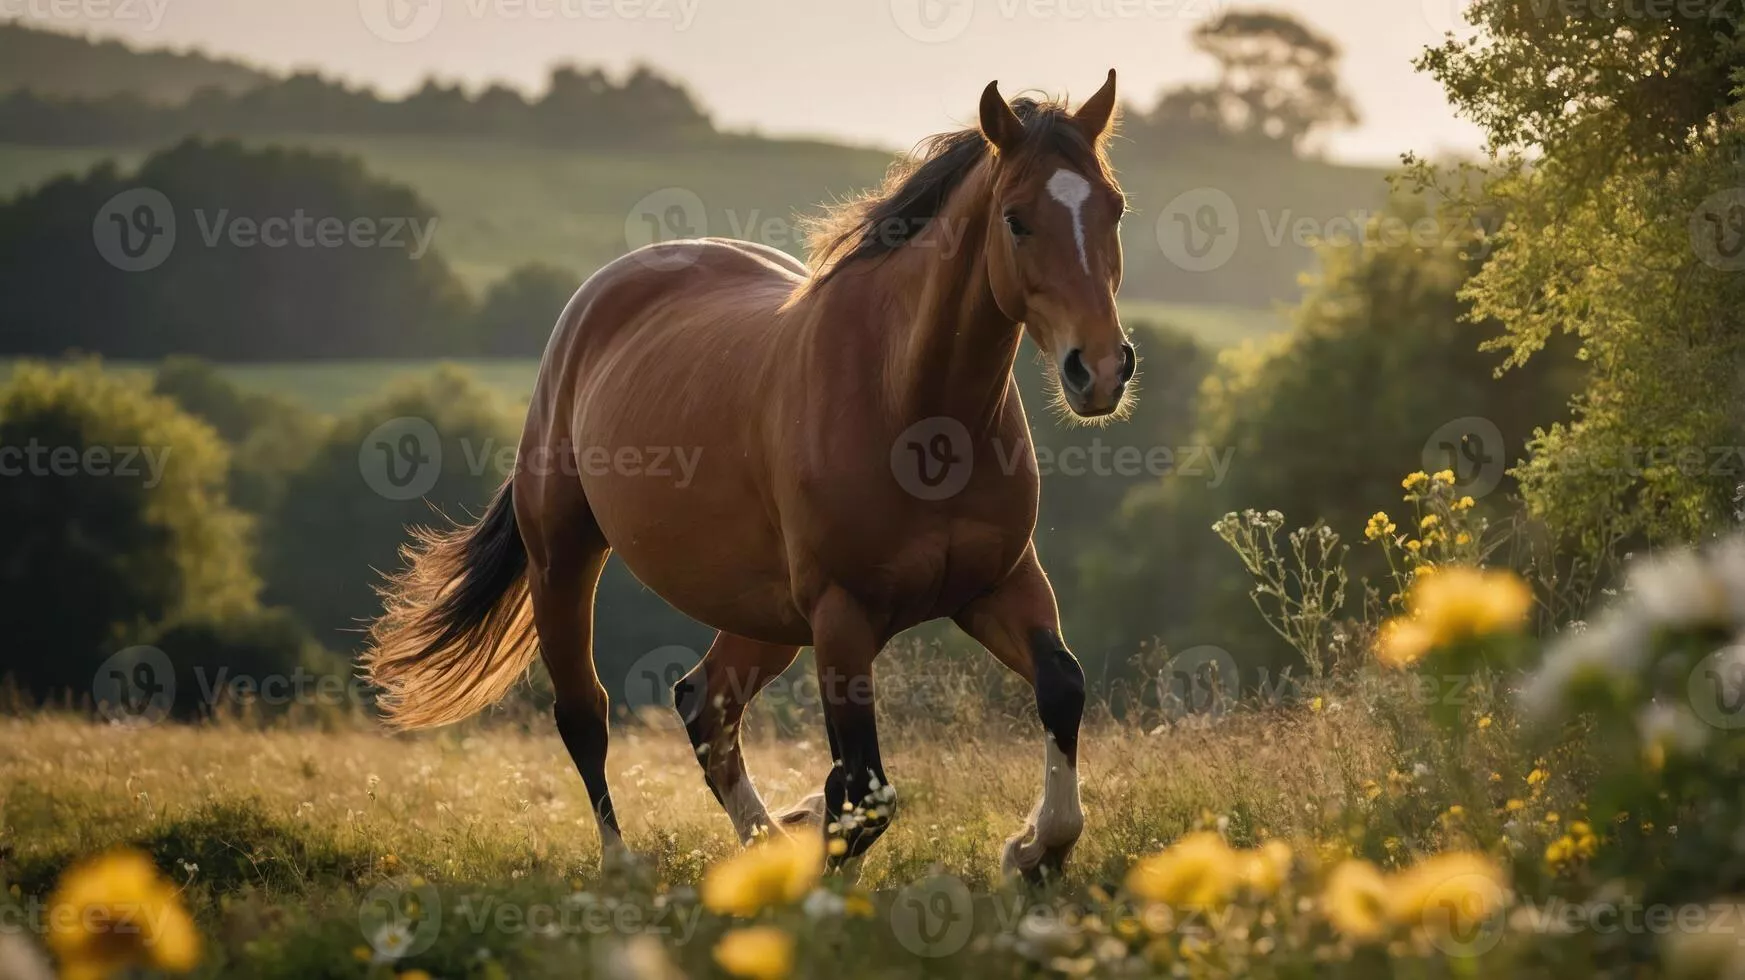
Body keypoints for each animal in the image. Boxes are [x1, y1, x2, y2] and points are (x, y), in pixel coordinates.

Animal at [364, 72, 1135, 881]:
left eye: (1113, 208)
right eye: (1017, 220)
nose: (1100, 370)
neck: (914, 409)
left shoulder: (999, 584)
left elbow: (1061, 687)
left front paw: (1034, 850)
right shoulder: (842, 615)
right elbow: (866, 793)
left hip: (763, 613)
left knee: (704, 704)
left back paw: (764, 845)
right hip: (564, 560)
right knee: (585, 712)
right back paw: (624, 865)